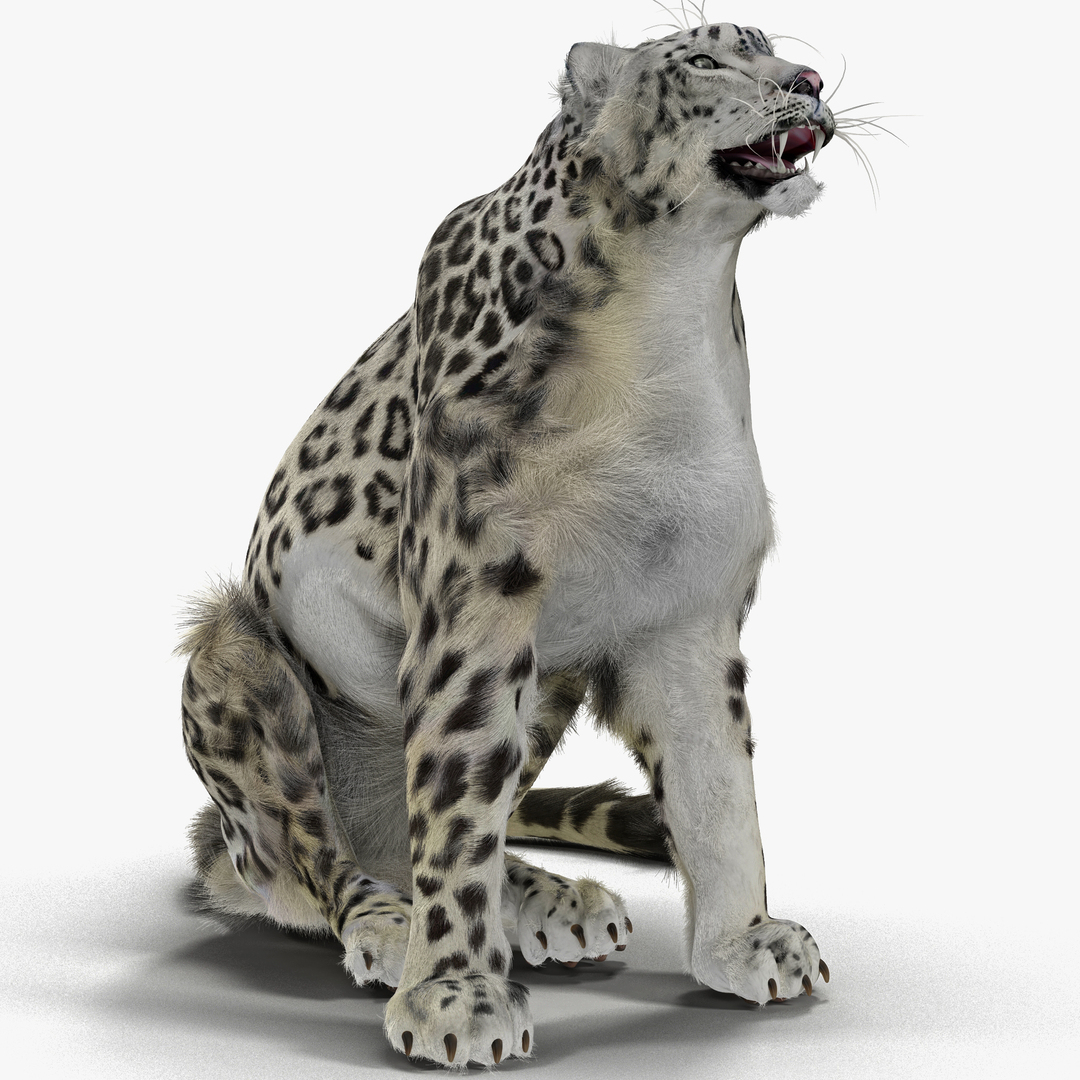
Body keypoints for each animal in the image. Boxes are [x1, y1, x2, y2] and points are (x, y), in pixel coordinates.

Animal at [178, 19, 837, 1069]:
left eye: (770, 46)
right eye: (705, 61)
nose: (809, 81)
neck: (674, 303)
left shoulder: (686, 616)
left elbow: (717, 790)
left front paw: (741, 942)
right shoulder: (473, 606)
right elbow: (455, 805)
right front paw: (454, 996)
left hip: (551, 673)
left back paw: (544, 900)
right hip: (232, 657)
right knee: (307, 862)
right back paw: (390, 924)